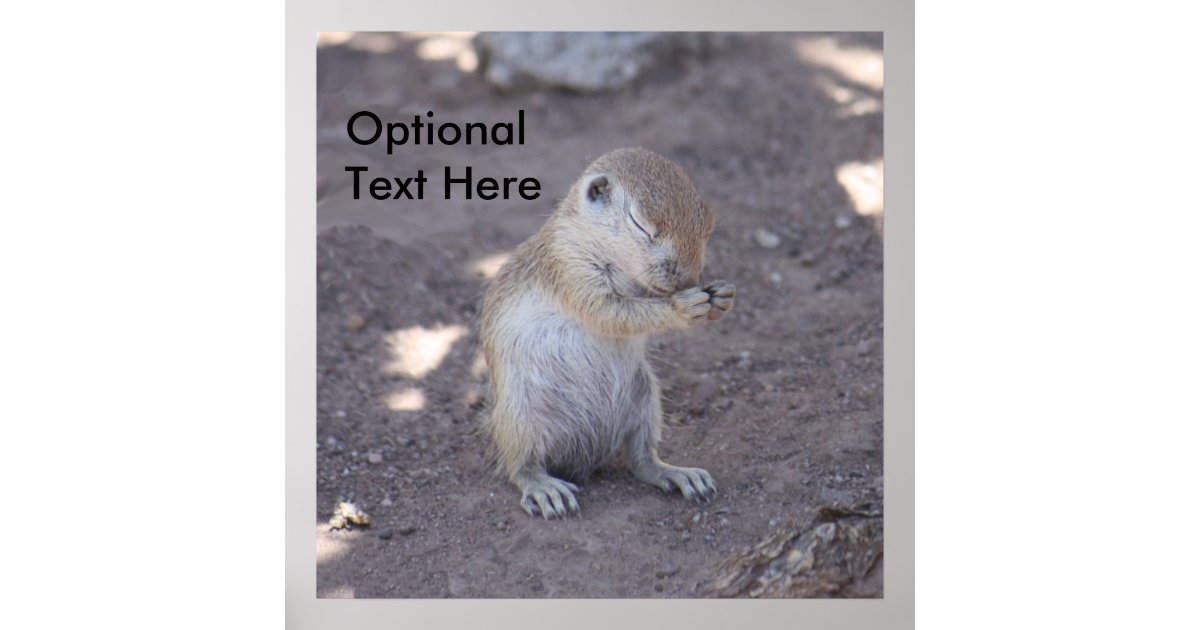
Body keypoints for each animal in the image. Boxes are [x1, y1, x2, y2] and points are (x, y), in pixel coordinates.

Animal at [480, 147, 736, 519]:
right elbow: (609, 311)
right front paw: (681, 307)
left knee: (640, 459)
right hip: (519, 417)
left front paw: (720, 297)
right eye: (641, 224)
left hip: (645, 398)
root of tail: (583, 458)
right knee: (520, 466)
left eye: (709, 224)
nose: (687, 281)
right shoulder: (570, 268)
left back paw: (677, 473)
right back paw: (545, 489)